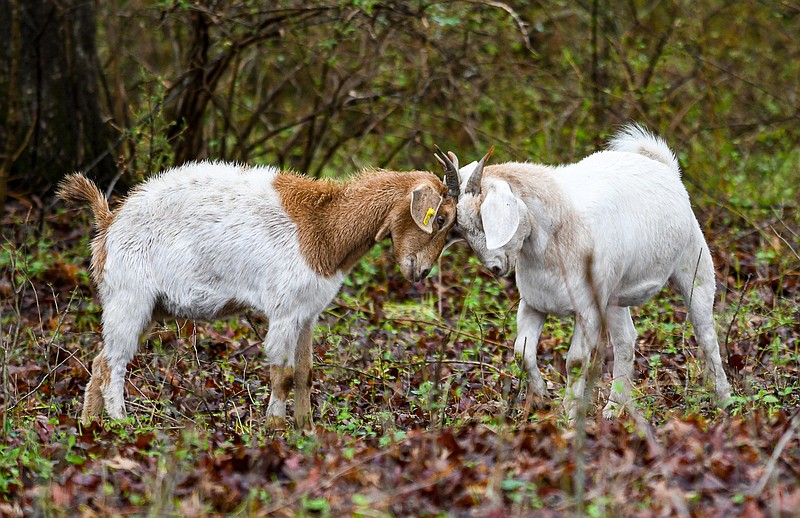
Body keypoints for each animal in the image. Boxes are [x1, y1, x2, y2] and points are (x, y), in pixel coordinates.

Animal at [57, 159, 460, 431]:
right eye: (440, 219)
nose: (421, 272)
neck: (324, 227)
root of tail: (109, 221)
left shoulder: (307, 312)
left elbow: (305, 372)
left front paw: (305, 427)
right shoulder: (284, 311)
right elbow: (282, 373)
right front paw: (275, 427)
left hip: (145, 306)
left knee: (99, 361)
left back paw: (90, 425)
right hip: (130, 297)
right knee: (114, 363)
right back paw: (121, 421)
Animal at [436, 125, 732, 421]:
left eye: (483, 219)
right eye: (462, 230)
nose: (495, 267)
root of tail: (665, 167)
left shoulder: (588, 309)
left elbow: (575, 361)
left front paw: (569, 413)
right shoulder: (533, 304)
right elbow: (522, 351)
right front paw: (542, 399)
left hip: (695, 267)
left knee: (706, 335)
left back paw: (724, 399)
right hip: (613, 297)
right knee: (626, 340)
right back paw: (614, 409)